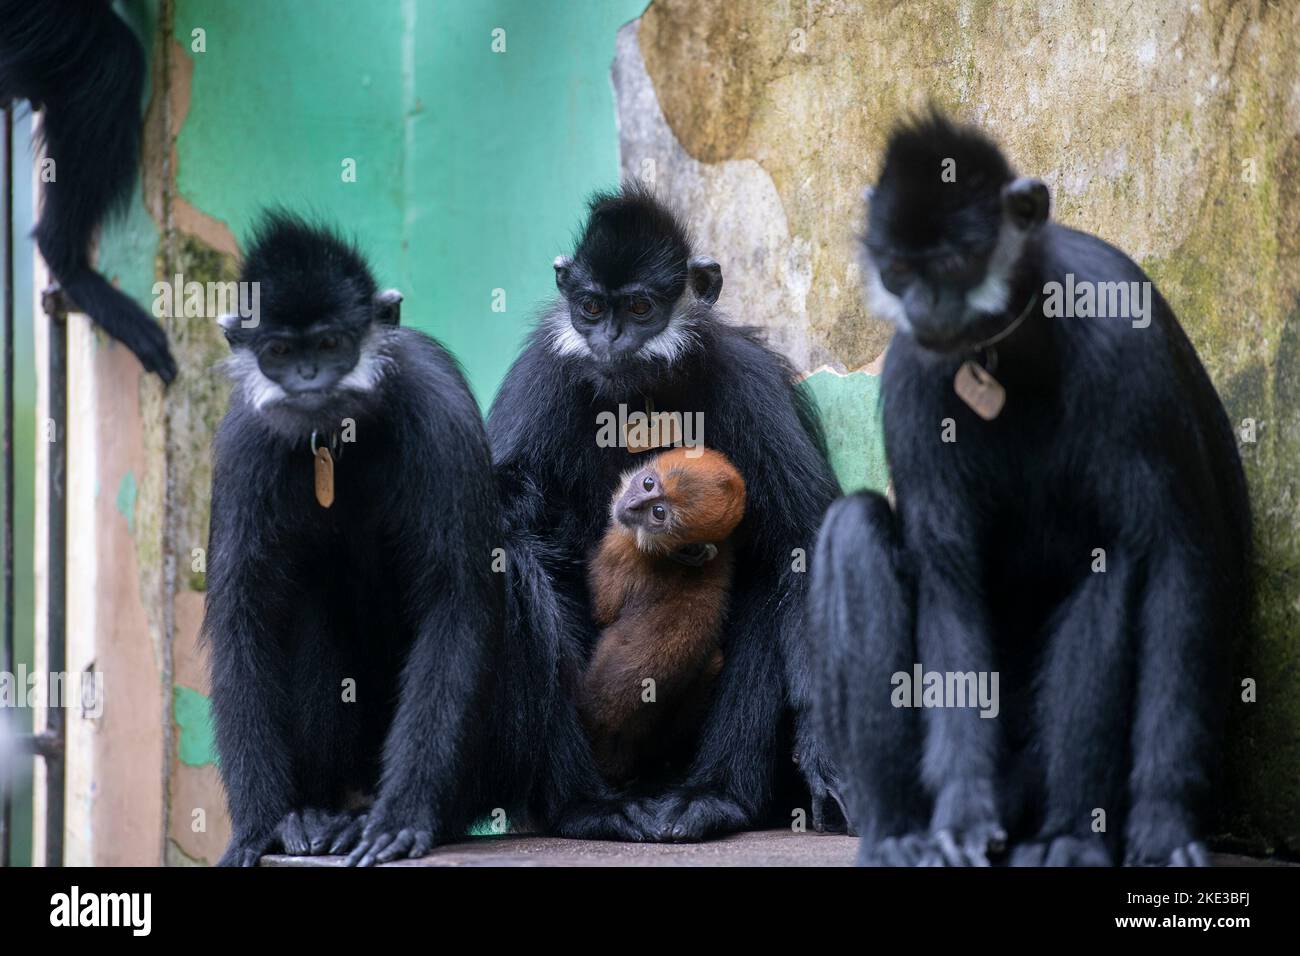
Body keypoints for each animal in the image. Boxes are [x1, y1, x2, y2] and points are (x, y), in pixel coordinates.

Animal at [204, 211, 503, 866]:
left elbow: (457, 603)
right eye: (281, 352)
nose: (308, 377)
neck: (337, 440)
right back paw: (321, 813)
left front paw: (404, 817)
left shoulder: (439, 416)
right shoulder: (244, 445)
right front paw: (259, 825)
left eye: (331, 345)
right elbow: (243, 615)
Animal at [809, 110, 1251, 866]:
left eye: (955, 266)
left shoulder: (1123, 339)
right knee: (853, 527)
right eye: (899, 273)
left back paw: (1070, 834)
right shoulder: (912, 373)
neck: (1004, 355)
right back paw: (897, 833)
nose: (925, 305)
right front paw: (960, 814)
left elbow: (1179, 561)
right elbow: (949, 578)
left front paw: (1165, 823)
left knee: (1114, 560)